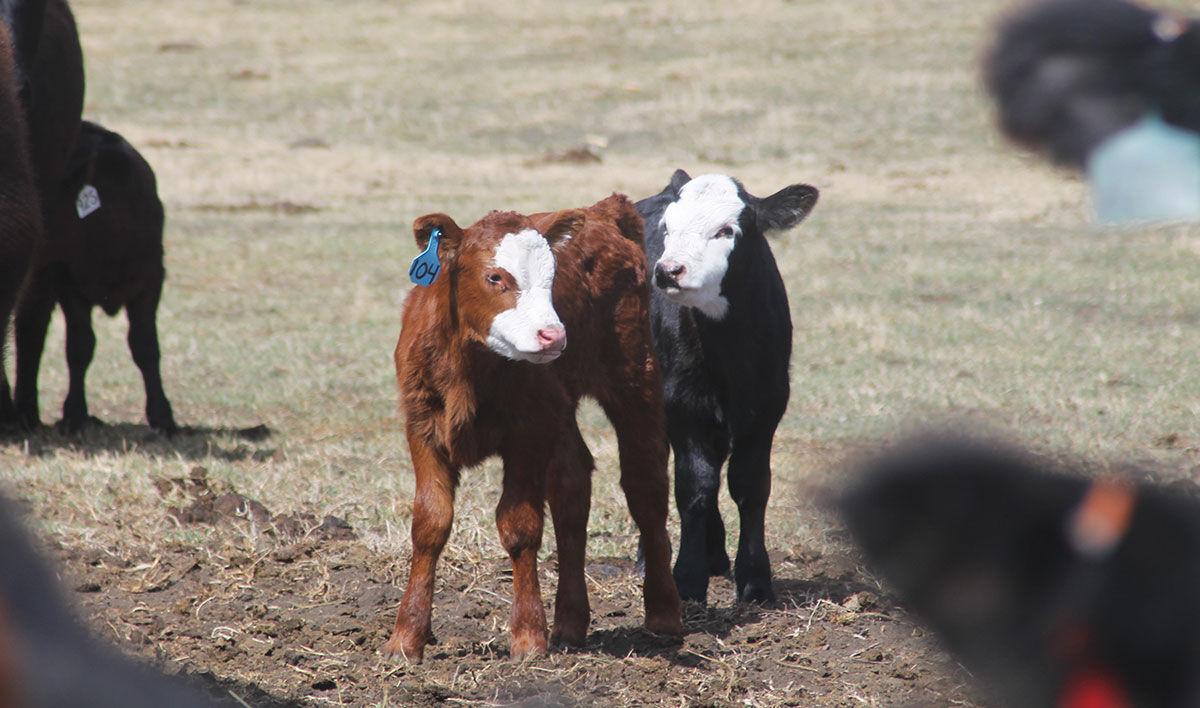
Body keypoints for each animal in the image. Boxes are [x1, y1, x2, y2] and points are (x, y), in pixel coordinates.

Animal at [14, 121, 177, 434]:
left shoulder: (151, 280)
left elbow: (145, 344)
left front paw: (162, 415)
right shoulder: (68, 281)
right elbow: (80, 346)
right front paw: (74, 413)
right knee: (31, 330)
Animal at [385, 195, 682, 662]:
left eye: (551, 277)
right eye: (495, 276)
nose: (553, 336)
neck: (469, 367)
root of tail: (603, 210)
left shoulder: (528, 432)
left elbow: (519, 526)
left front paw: (527, 636)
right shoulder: (422, 427)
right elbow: (430, 524)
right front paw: (406, 637)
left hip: (635, 377)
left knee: (644, 486)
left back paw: (664, 613)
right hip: (562, 411)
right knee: (572, 486)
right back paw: (570, 623)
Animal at [635, 170, 818, 606]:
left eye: (725, 230)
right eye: (668, 228)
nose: (668, 270)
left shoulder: (768, 405)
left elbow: (749, 484)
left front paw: (755, 581)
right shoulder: (681, 403)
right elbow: (694, 487)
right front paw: (687, 578)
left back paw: (716, 554)